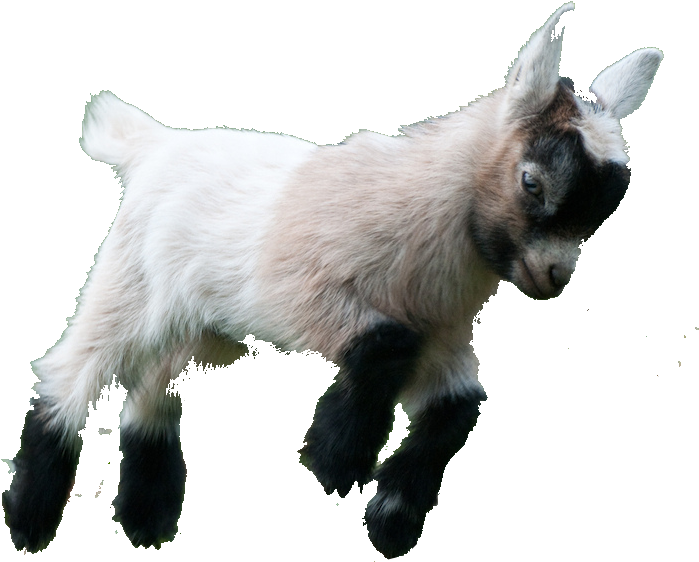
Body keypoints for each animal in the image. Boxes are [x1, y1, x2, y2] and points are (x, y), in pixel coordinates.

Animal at [3, 3, 661, 558]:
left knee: (150, 386)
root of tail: (153, 142)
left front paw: (393, 516)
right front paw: (336, 459)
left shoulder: (444, 336)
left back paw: (147, 517)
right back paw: (31, 520)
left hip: (188, 321)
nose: (554, 277)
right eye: (531, 181)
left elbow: (459, 406)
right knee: (69, 371)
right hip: (128, 283)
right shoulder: (301, 290)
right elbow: (385, 344)